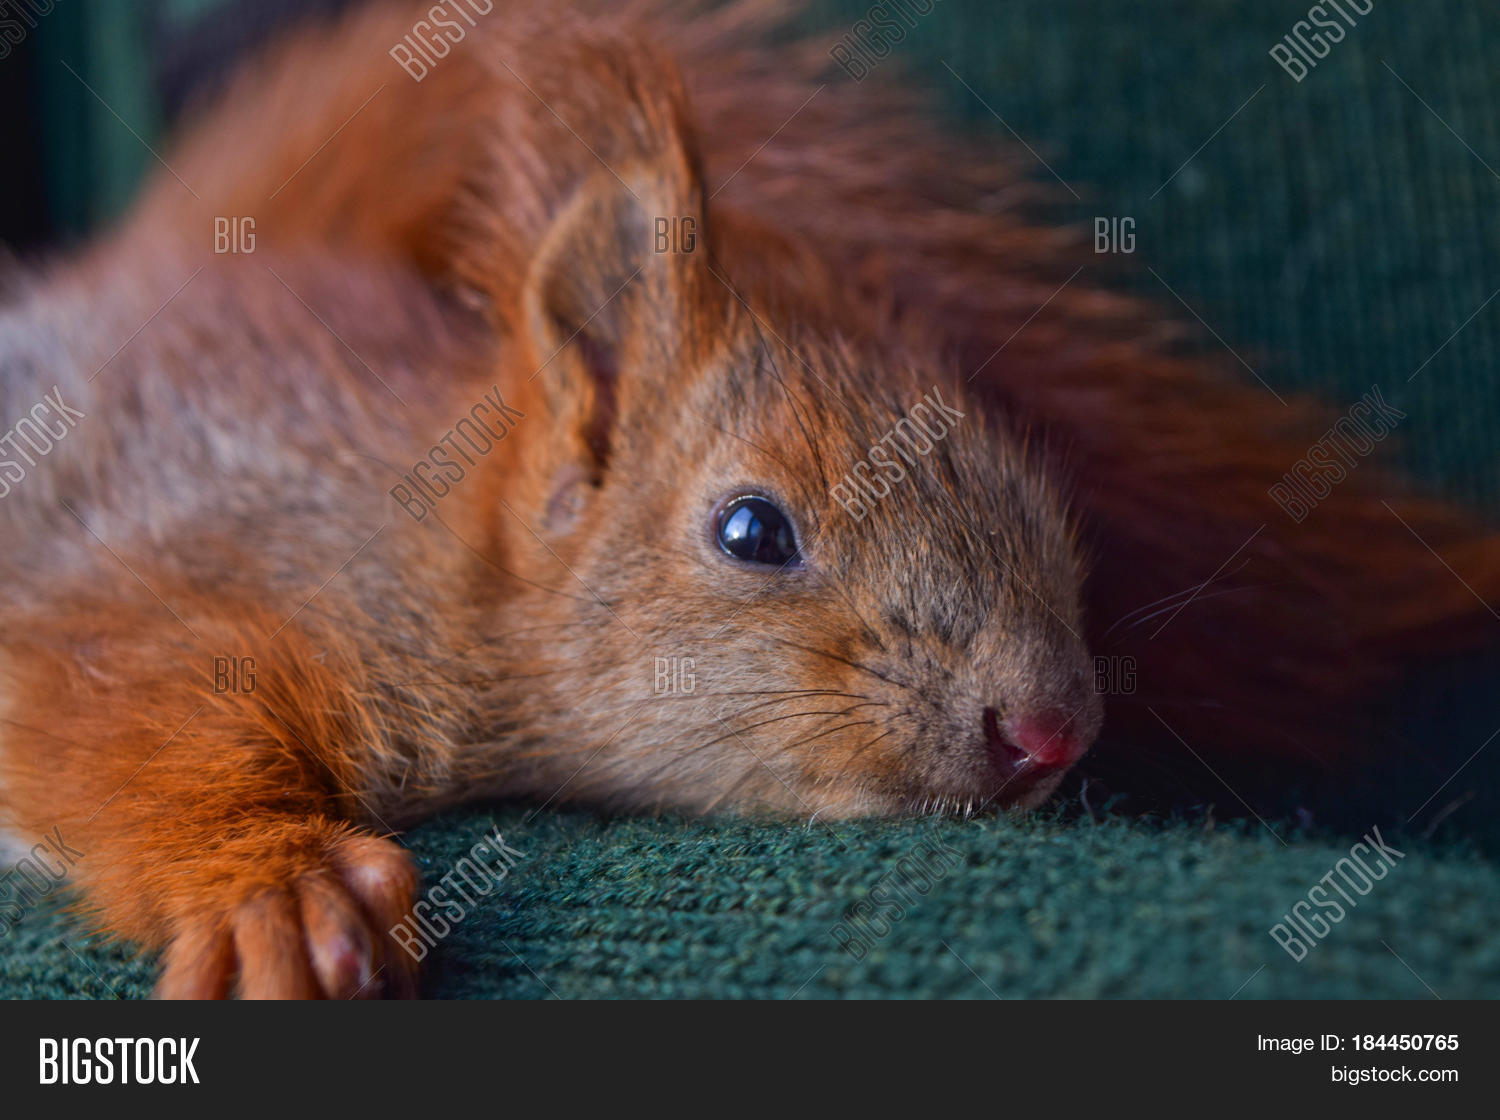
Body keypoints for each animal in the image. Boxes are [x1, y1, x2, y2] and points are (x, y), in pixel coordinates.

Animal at [0, 0, 1496, 998]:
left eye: (1045, 506)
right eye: (750, 532)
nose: (1053, 727)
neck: (450, 553)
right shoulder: (194, 561)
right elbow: (108, 708)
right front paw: (275, 883)